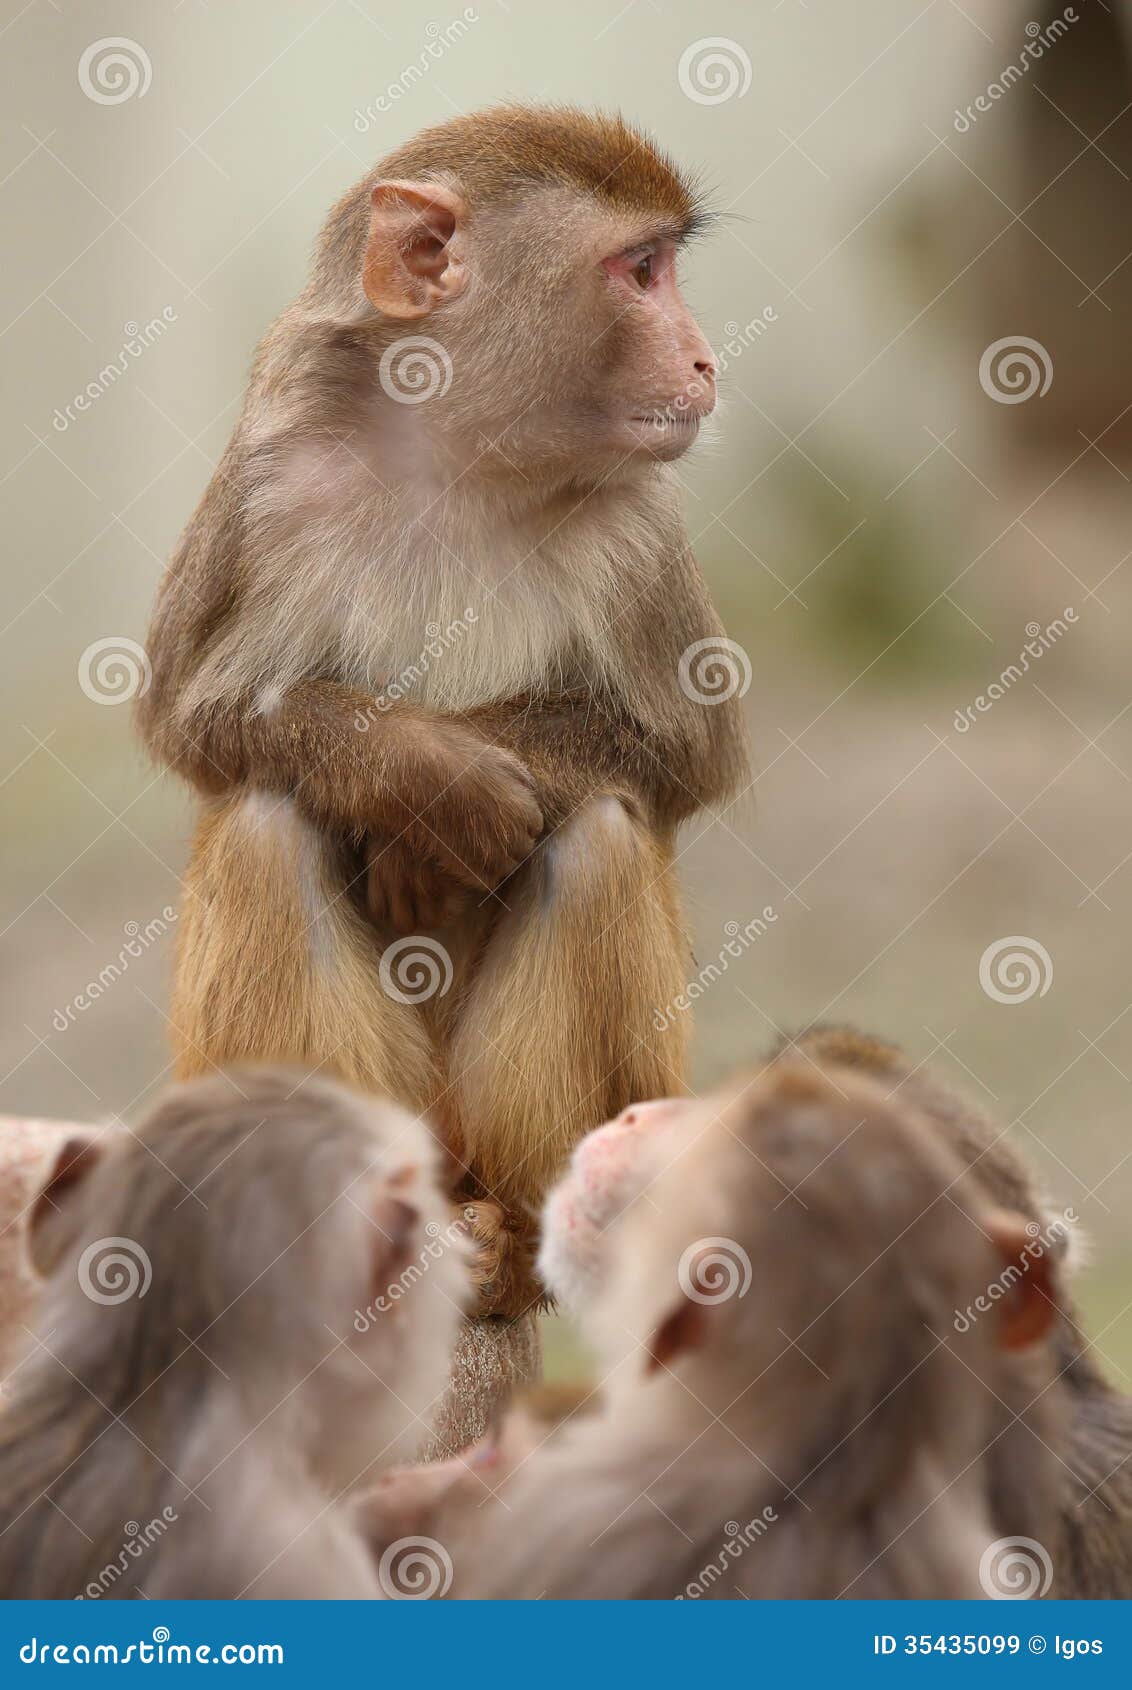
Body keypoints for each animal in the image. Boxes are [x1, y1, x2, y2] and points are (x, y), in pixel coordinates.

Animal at [136, 104, 747, 1397]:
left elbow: (684, 753)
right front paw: (425, 782)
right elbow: (193, 715)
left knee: (597, 837)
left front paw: (438, 799)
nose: (705, 361)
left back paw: (522, 1240)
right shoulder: (269, 475)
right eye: (640, 270)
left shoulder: (640, 518)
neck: (463, 451)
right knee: (266, 824)